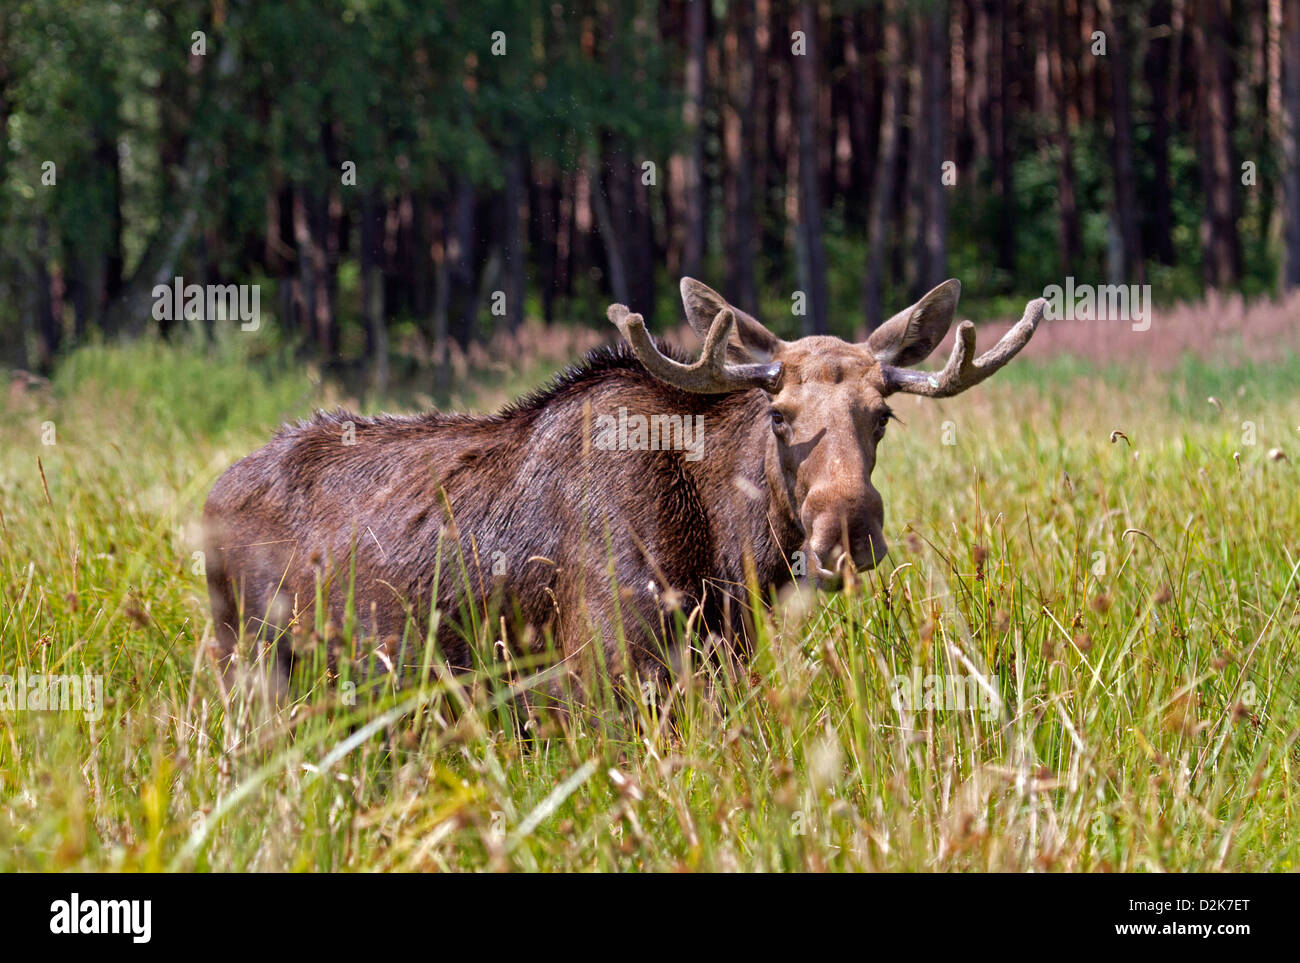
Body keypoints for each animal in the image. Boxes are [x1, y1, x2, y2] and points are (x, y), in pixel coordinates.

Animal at [203, 278, 1044, 705]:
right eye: (779, 413)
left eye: (883, 414)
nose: (847, 526)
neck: (725, 551)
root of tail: (207, 502)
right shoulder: (601, 670)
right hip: (251, 663)